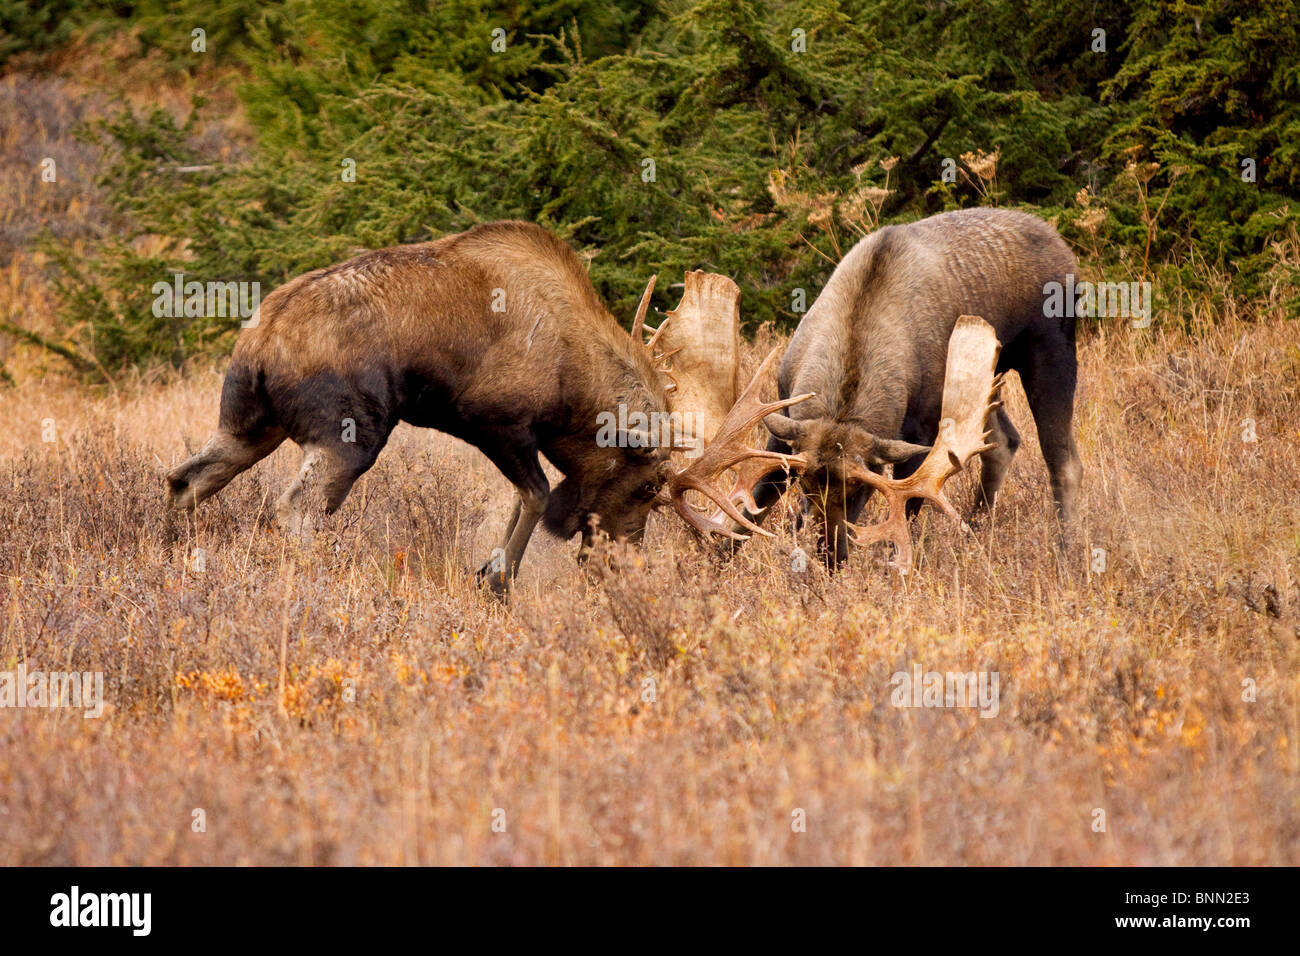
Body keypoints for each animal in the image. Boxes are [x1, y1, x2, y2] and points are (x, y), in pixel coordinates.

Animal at [163, 221, 810, 594]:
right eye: (650, 487)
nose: (617, 564)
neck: (576, 391)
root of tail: (259, 342)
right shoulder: (497, 422)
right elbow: (537, 496)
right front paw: (497, 580)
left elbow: (527, 497)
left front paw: (492, 572)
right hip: (350, 432)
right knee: (292, 509)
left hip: (249, 423)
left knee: (184, 479)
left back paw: (173, 560)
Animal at [728, 207, 1083, 567]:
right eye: (805, 485)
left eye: (860, 490)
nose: (830, 555)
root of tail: (1065, 250)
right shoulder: (784, 422)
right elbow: (754, 502)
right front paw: (719, 555)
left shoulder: (920, 435)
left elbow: (904, 515)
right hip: (984, 376)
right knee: (1004, 443)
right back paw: (974, 534)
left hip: (1052, 350)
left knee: (1062, 458)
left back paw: (1066, 549)